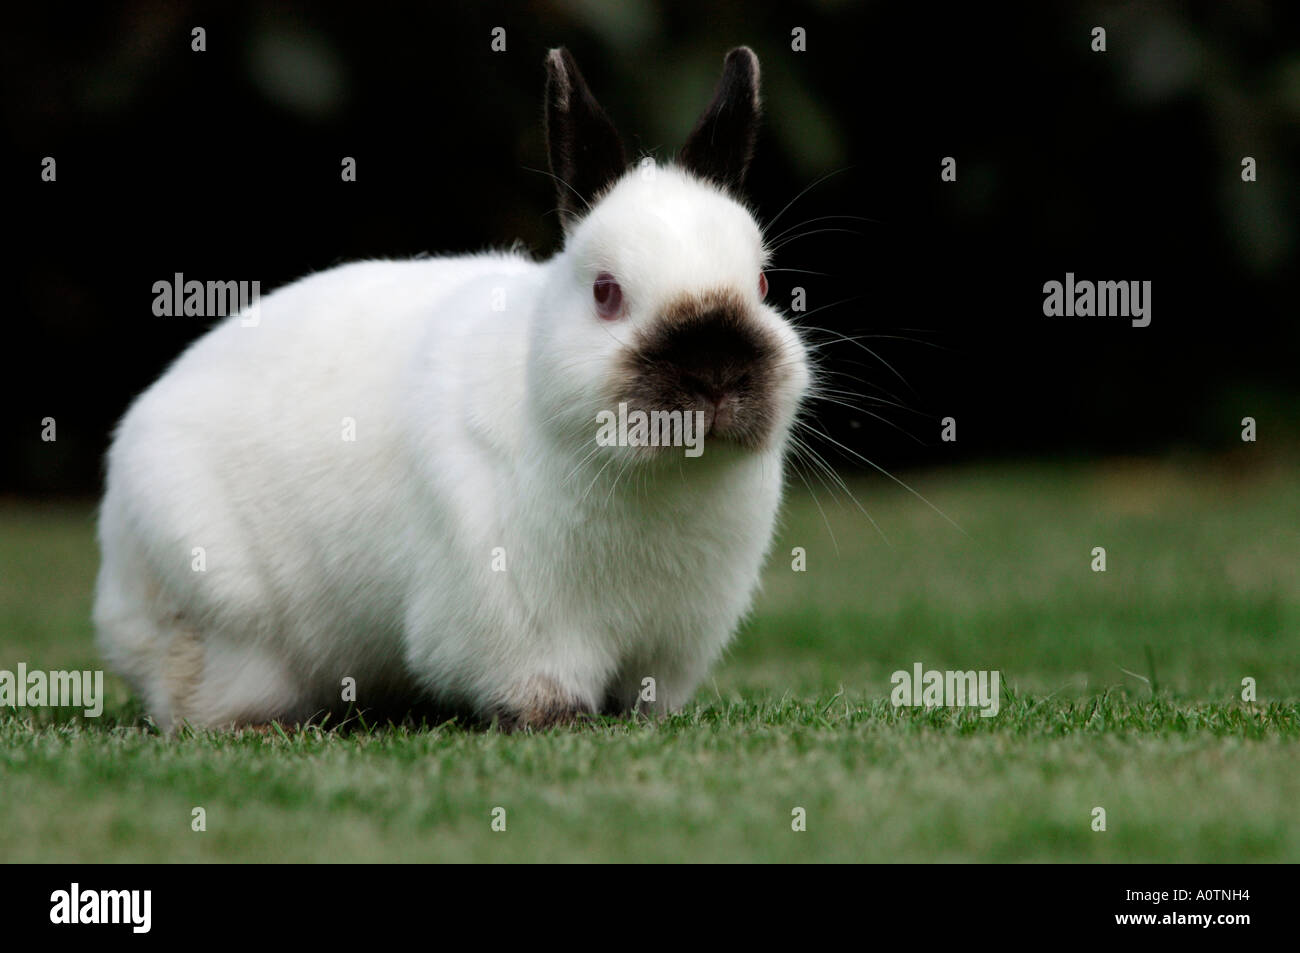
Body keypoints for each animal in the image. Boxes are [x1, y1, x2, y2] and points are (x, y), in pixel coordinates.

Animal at [93, 46, 812, 731]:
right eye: (606, 292)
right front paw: (554, 720)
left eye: (763, 284)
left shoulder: (672, 642)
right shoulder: (517, 625)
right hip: (226, 617)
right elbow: (534, 685)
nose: (714, 374)